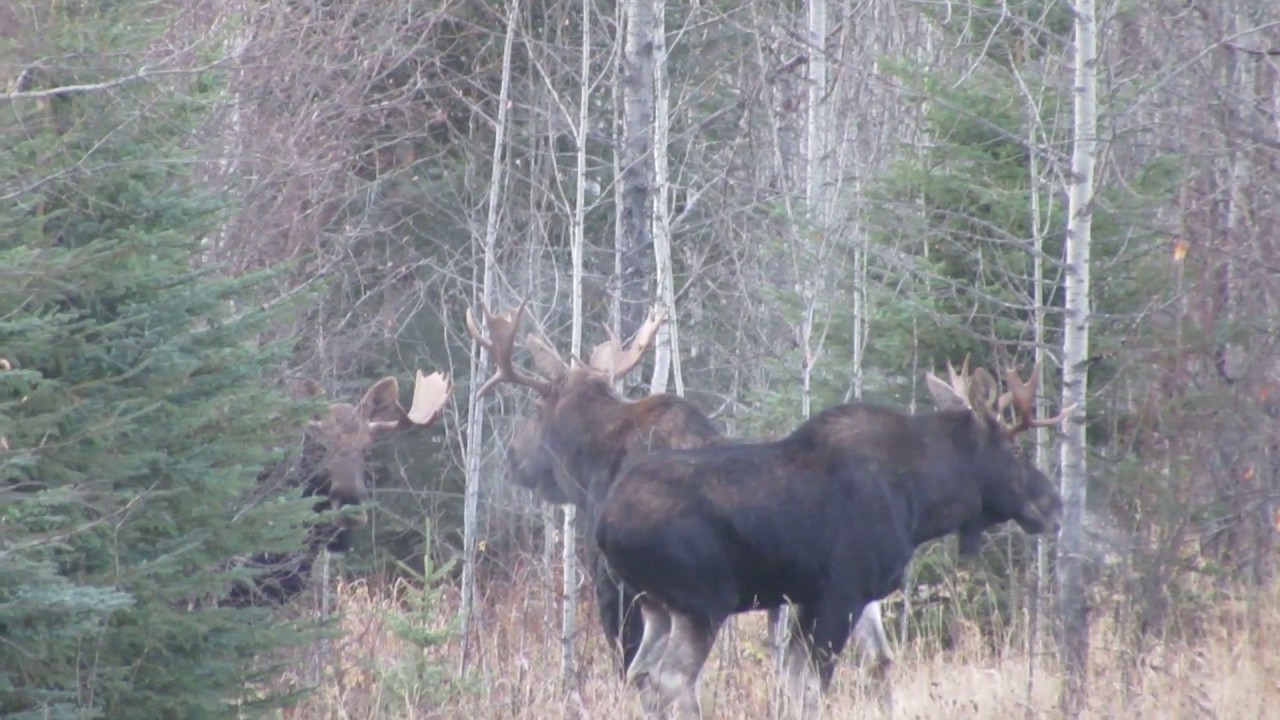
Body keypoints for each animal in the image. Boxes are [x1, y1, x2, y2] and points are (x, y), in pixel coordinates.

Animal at [463, 300, 893, 682]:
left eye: (538, 409)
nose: (512, 456)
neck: (590, 470)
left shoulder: (616, 584)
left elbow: (630, 663)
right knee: (878, 657)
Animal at [596, 359, 1070, 717]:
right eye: (1014, 451)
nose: (1054, 507)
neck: (922, 502)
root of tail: (603, 525)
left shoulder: (821, 597)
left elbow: (853, 668)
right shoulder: (842, 592)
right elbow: (815, 684)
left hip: (654, 605)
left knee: (639, 672)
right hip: (703, 602)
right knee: (673, 679)